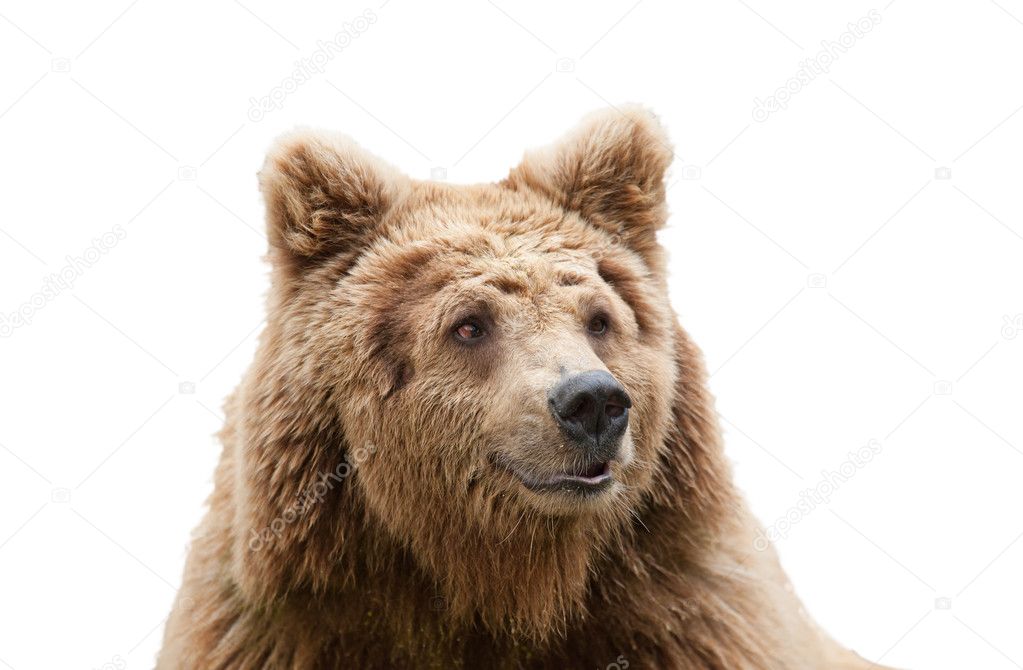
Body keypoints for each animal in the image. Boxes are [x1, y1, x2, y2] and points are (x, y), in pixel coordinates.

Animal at [157, 107, 893, 669]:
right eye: (468, 324)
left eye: (599, 319)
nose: (592, 403)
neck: (512, 583)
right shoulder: (282, 628)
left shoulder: (683, 623)